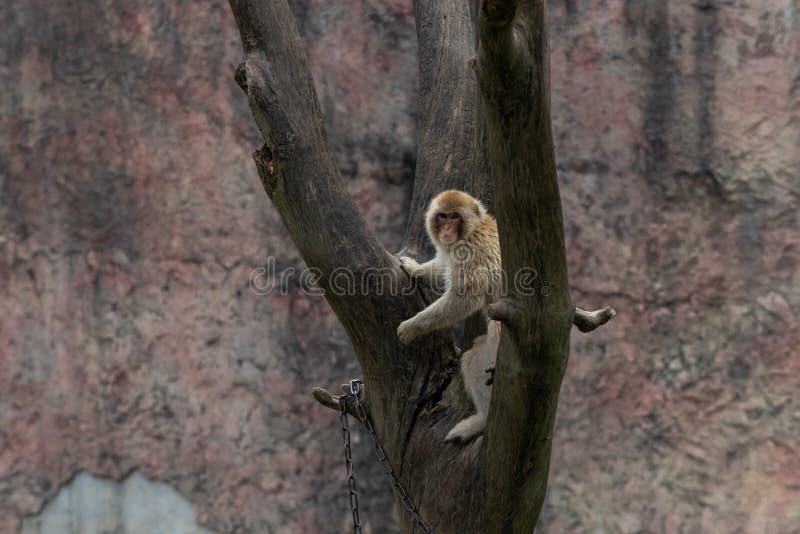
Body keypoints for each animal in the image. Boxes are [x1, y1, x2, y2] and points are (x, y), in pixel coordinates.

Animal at [397, 190, 502, 443]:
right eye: (443, 216)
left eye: (454, 217)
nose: (446, 229)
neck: (472, 229)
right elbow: (444, 271)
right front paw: (415, 268)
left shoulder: (468, 251)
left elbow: (464, 298)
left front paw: (411, 327)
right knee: (472, 357)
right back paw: (481, 421)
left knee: (496, 325)